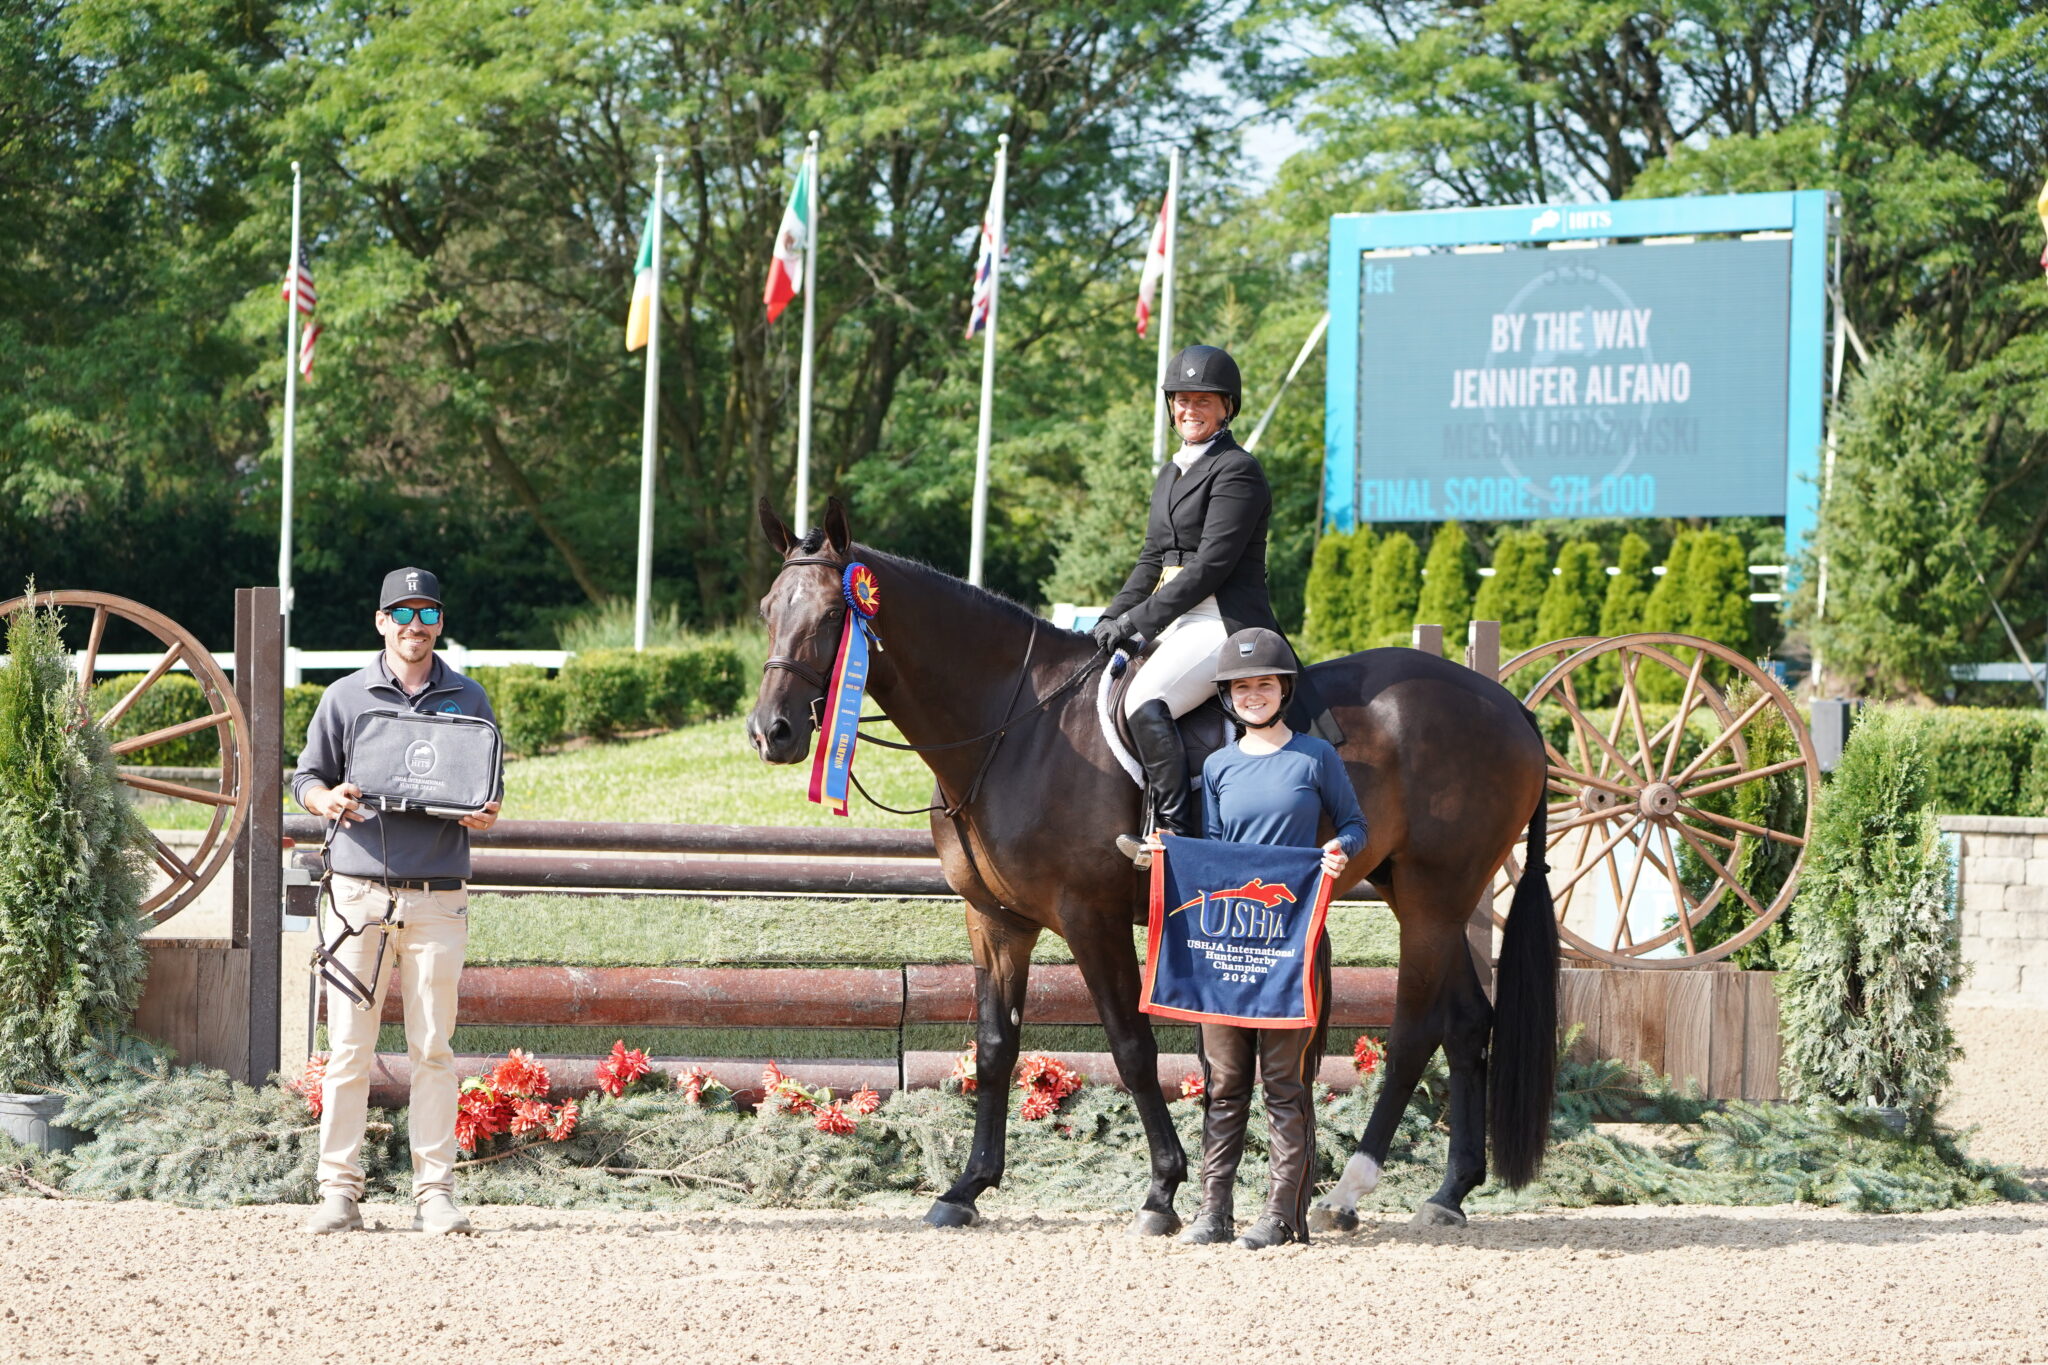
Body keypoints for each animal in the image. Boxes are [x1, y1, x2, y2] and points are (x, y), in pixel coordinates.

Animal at [745, 497, 1558, 1233]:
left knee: (1417, 1028)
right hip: (1430, 895)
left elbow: (1132, 1047)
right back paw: (1450, 1192)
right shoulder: (997, 920)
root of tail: (1508, 705)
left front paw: (1163, 1190)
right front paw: (966, 1188)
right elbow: (996, 1045)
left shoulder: (1089, 916)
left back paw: (1348, 1192)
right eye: (766, 611)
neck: (1014, 728)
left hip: (1431, 895)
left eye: (832, 616)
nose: (769, 733)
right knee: (1467, 1021)